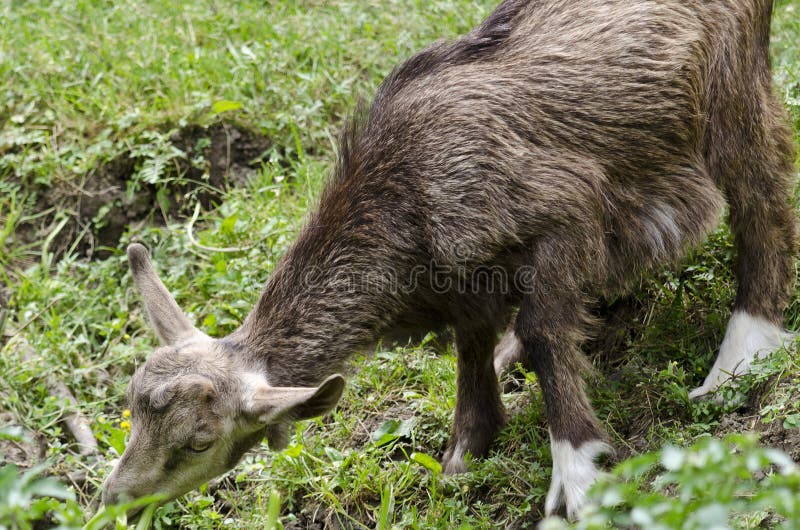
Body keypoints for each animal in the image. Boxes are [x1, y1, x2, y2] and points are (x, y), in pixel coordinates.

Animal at [103, 0, 797, 520]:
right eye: (132, 411)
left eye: (199, 441)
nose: (115, 499)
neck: (400, 195)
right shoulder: (463, 277)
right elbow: (471, 349)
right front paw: (466, 452)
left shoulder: (564, 206)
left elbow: (544, 330)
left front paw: (579, 476)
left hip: (730, 87)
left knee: (761, 196)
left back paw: (738, 357)